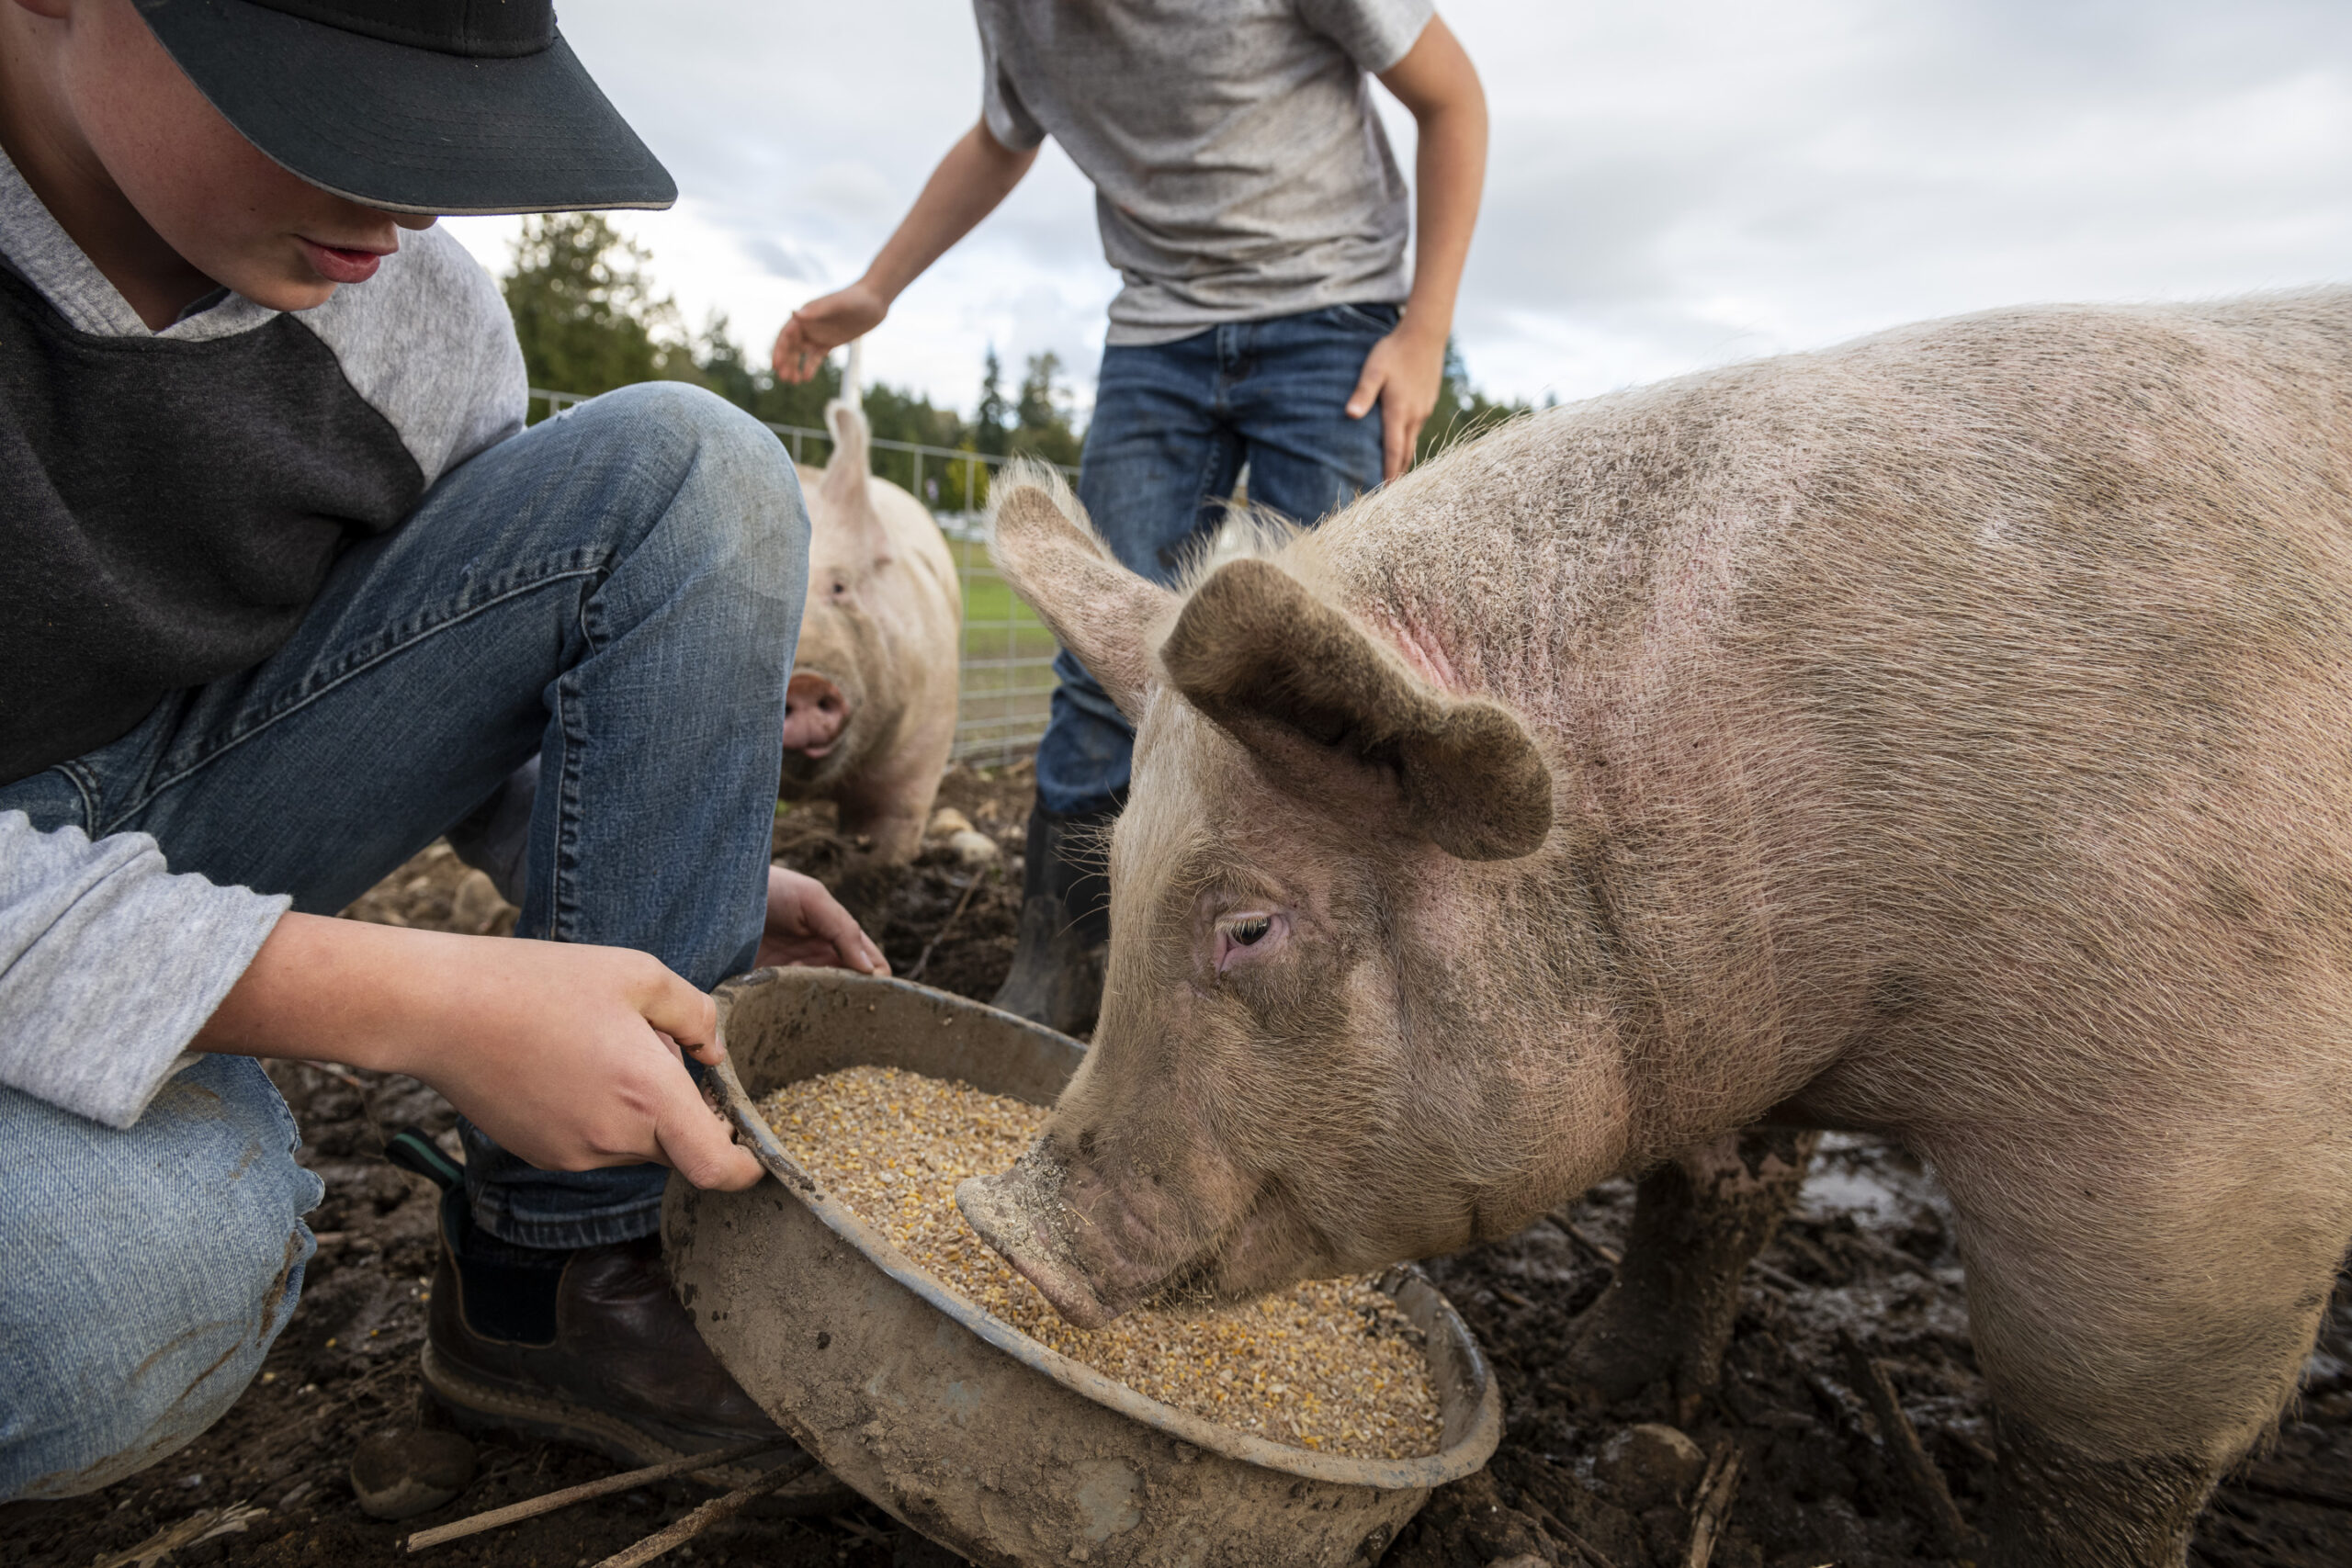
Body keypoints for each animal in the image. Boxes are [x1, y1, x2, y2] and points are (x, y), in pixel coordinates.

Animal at [958, 290, 2352, 1567]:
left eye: (1248, 928)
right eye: (1117, 875)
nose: (996, 1221)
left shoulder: (2196, 1143)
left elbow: (2095, 1439)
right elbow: (1709, 1191)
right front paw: (1600, 1380)